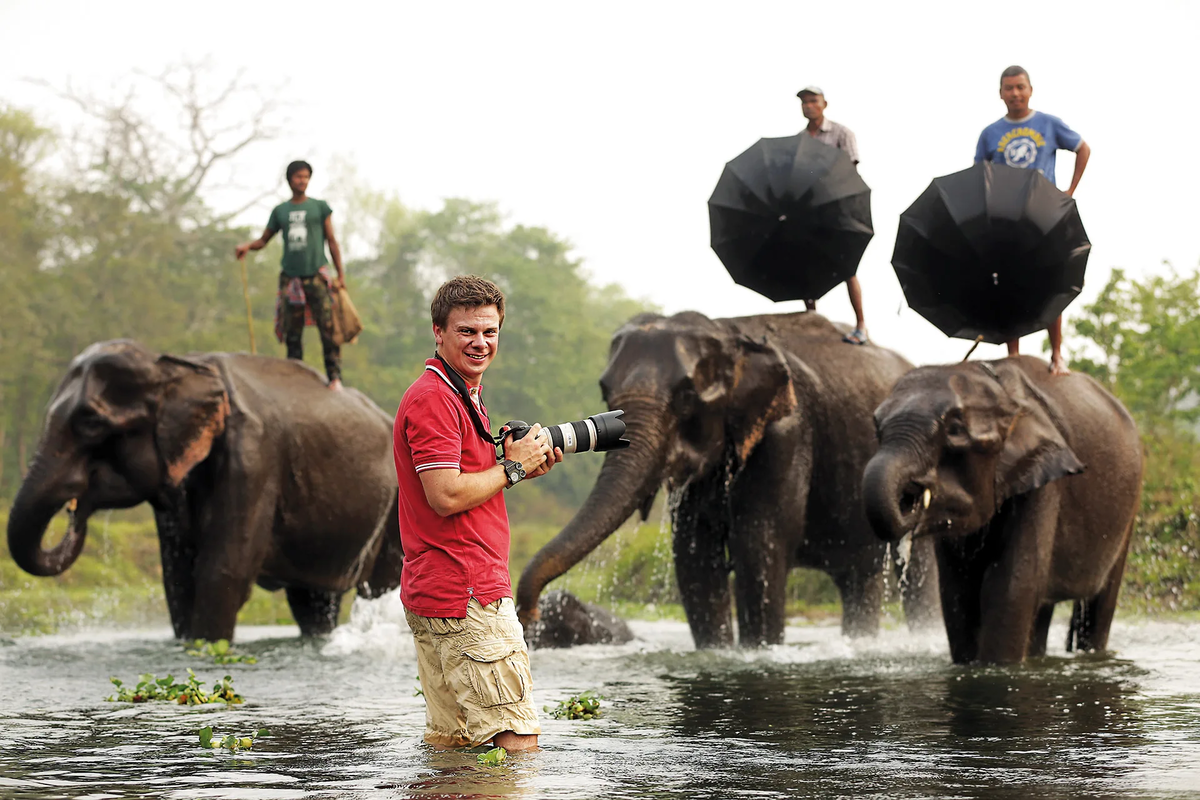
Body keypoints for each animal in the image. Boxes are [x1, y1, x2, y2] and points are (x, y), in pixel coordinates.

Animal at [4, 340, 403, 642]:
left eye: (90, 422)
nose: (76, 510)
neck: (177, 367)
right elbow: (178, 578)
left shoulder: (253, 458)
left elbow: (221, 572)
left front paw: (207, 645)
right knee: (312, 602)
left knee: (380, 586)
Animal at [513, 309, 936, 647]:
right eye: (604, 392)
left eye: (687, 397)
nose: (532, 614)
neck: (729, 334)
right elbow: (695, 557)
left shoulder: (787, 432)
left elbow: (758, 548)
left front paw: (758, 653)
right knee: (860, 578)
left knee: (912, 570)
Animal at [868, 357, 1137, 662]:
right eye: (877, 428)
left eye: (955, 430)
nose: (909, 497)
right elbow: (957, 590)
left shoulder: (1043, 482)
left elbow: (1012, 584)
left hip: (1128, 512)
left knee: (1099, 603)